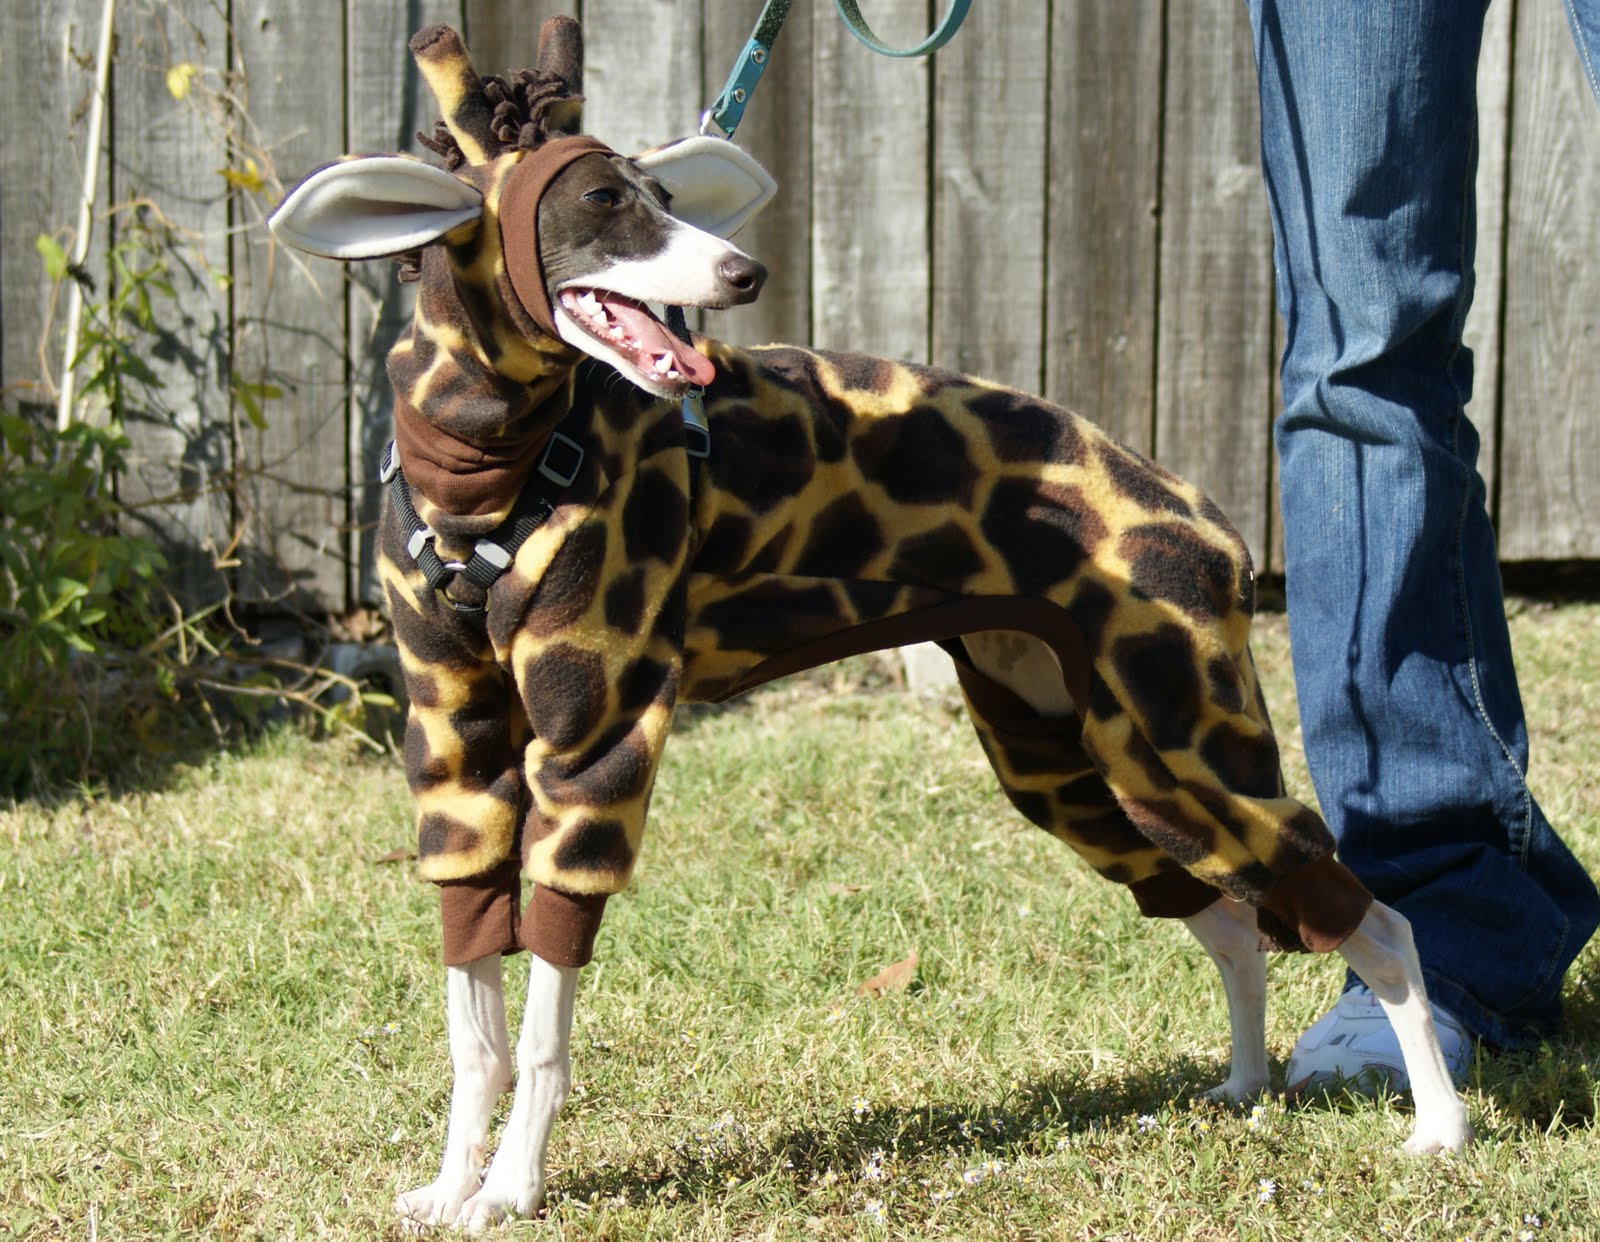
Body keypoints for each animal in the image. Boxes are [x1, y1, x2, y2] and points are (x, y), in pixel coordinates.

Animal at [269, 17, 1471, 1229]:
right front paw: (451, 1182)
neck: (491, 470)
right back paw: (1240, 1087)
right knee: (1231, 924)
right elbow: (476, 1022)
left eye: (665, 194)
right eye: (605, 199)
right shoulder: (455, 754)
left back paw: (1440, 1126)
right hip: (1078, 767)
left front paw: (512, 1189)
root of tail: (1211, 520)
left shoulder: (593, 744)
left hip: (1184, 750)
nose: (742, 270)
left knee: (1378, 922)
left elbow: (542, 1027)